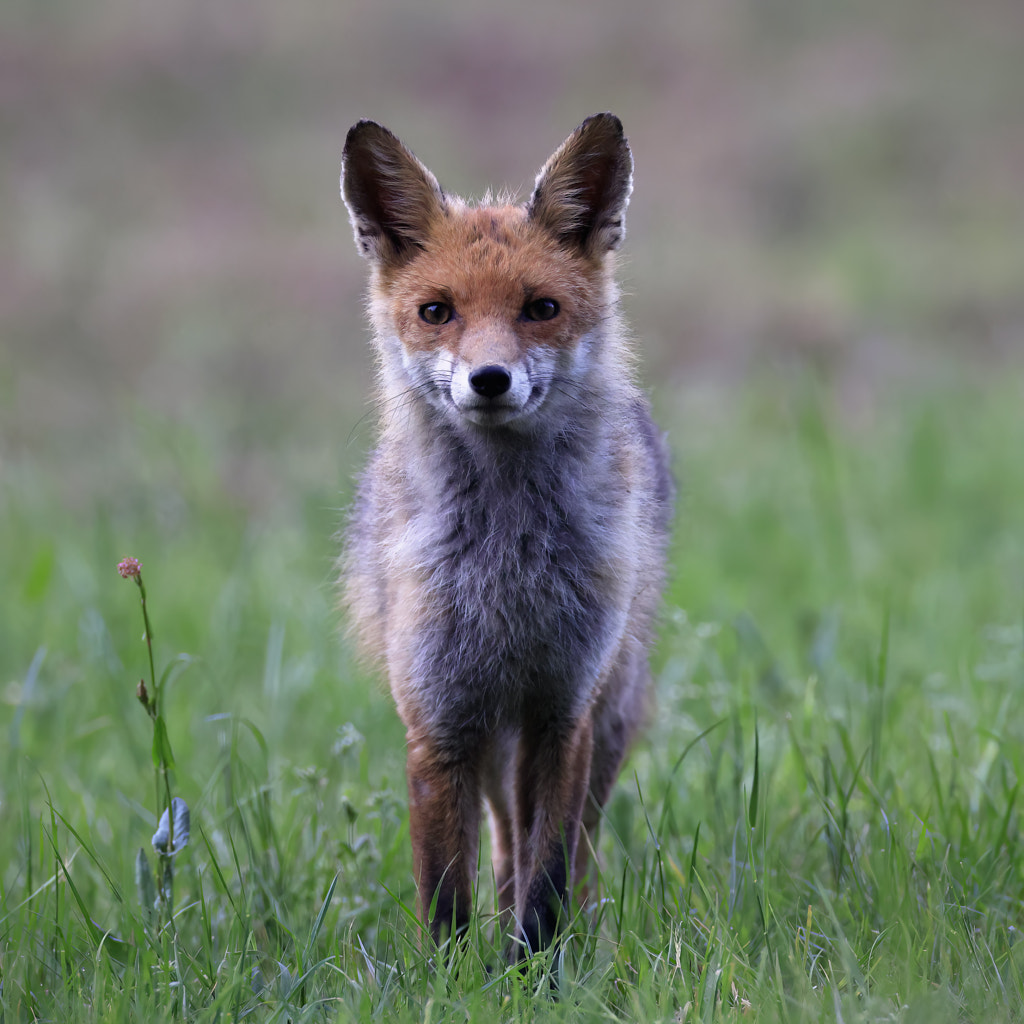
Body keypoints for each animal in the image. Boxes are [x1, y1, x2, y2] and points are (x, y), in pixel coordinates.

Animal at [339, 113, 673, 956]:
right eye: (437, 311)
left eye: (540, 308)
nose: (489, 380)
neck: (506, 565)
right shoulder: (440, 719)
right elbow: (446, 898)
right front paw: (455, 976)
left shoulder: (562, 710)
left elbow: (546, 879)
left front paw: (540, 969)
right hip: (493, 739)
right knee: (498, 846)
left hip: (606, 716)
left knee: (570, 848)